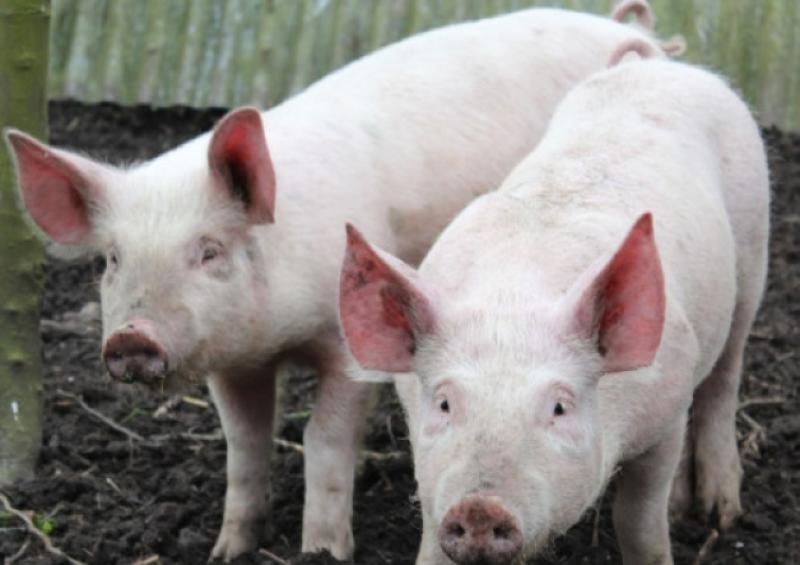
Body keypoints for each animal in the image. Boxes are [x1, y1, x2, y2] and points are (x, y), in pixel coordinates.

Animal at [7, 6, 674, 561]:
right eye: (112, 259)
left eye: (209, 251)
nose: (131, 340)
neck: (277, 337)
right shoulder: (233, 360)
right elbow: (244, 442)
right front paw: (228, 550)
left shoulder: (347, 344)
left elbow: (322, 437)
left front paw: (324, 550)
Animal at [339, 43, 769, 564]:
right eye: (444, 403)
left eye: (559, 407)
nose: (480, 508)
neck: (513, 296)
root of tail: (657, 66)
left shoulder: (664, 411)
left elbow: (639, 519)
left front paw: (661, 532)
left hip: (754, 247)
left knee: (724, 375)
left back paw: (716, 513)